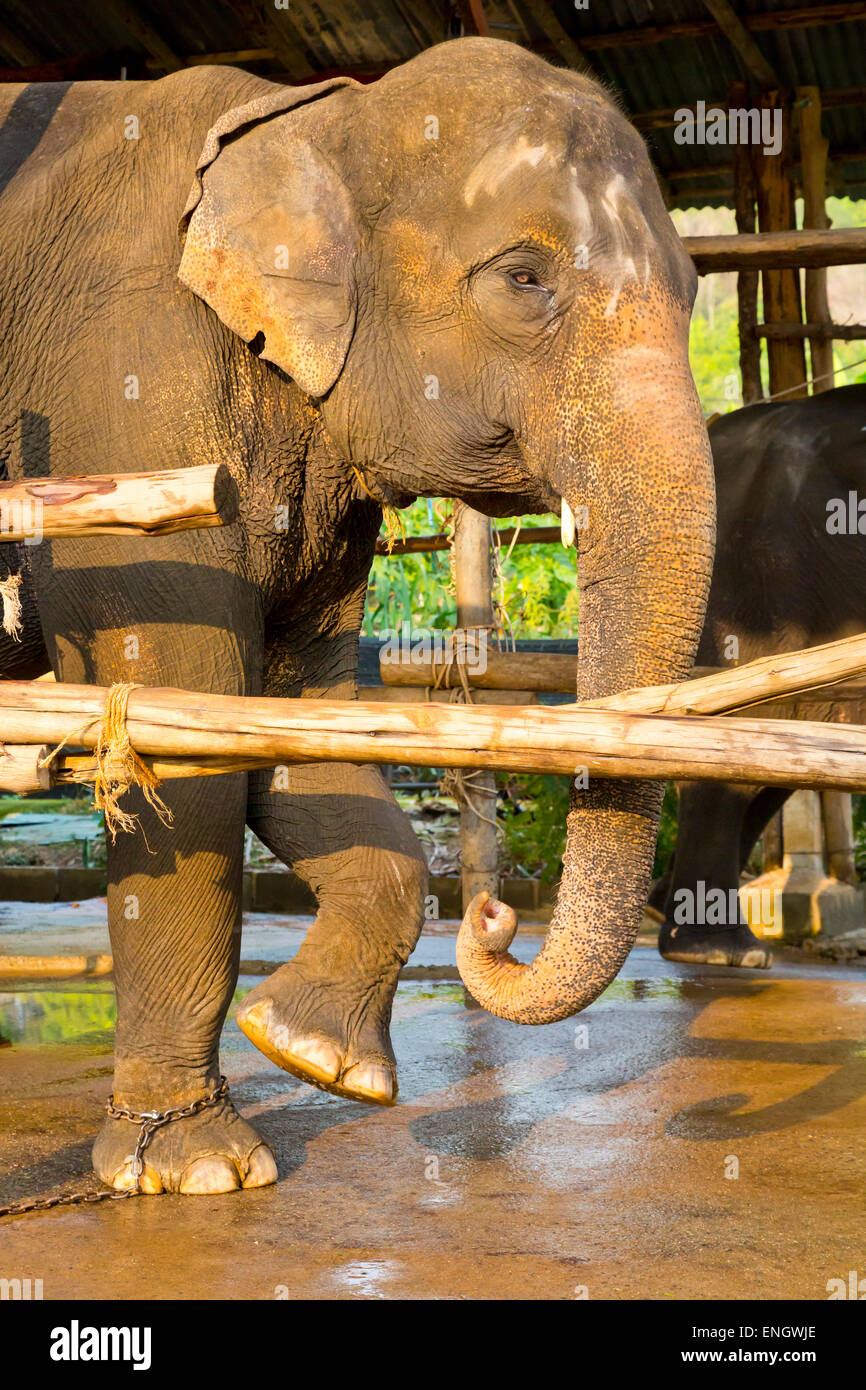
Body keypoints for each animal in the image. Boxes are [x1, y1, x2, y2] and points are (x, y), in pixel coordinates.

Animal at [0, 36, 713, 1196]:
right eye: (524, 280)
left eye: (698, 291)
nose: (494, 918)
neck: (317, 115)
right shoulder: (124, 396)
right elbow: (183, 744)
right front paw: (194, 1169)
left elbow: (296, 729)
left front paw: (318, 1059)